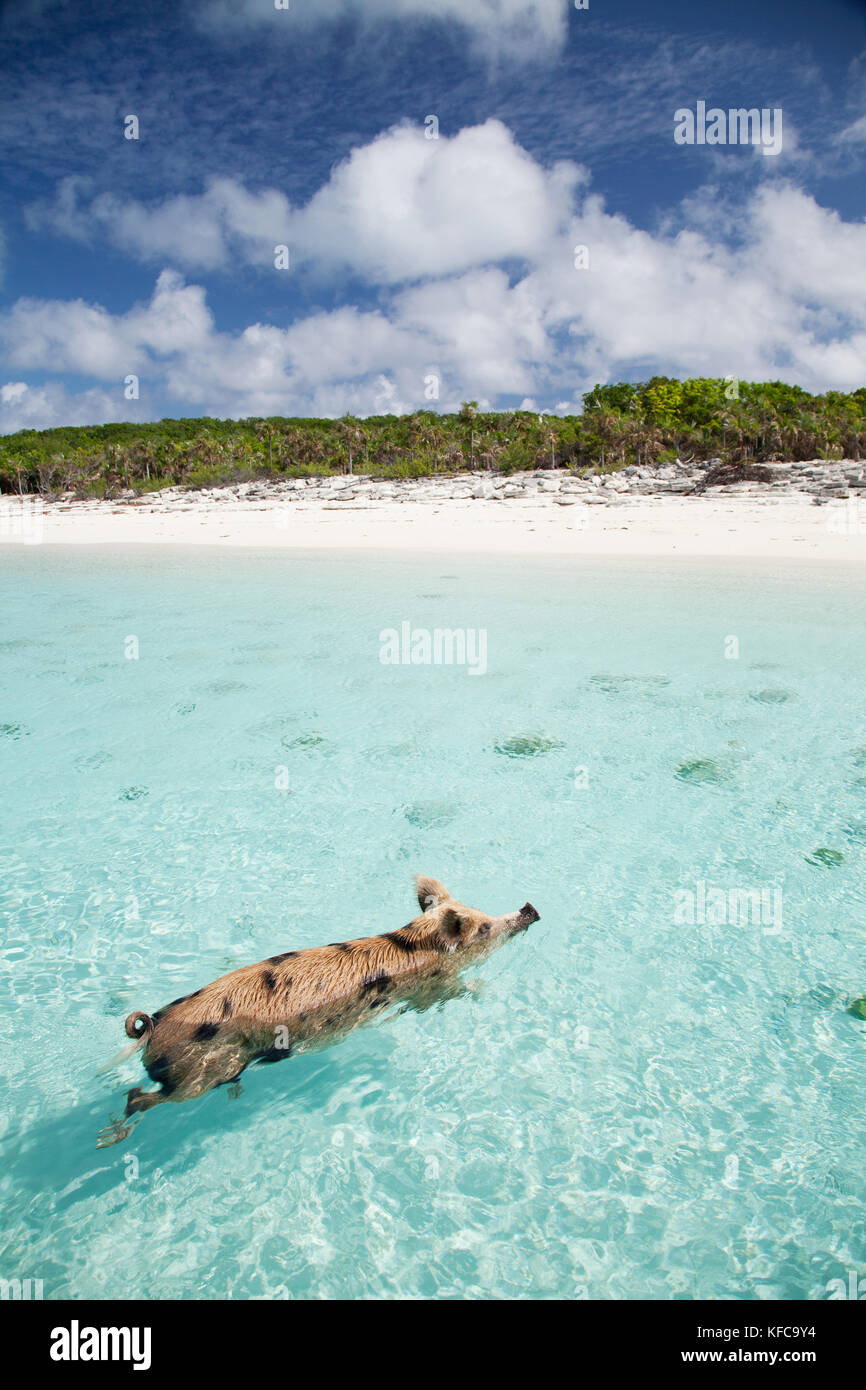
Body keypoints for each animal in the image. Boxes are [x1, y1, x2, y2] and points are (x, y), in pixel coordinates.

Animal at [97, 876, 539, 1147]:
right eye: (483, 927)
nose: (529, 907)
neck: (412, 945)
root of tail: (151, 1027)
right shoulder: (427, 990)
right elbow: (454, 992)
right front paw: (485, 990)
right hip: (200, 1072)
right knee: (144, 1097)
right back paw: (109, 1135)